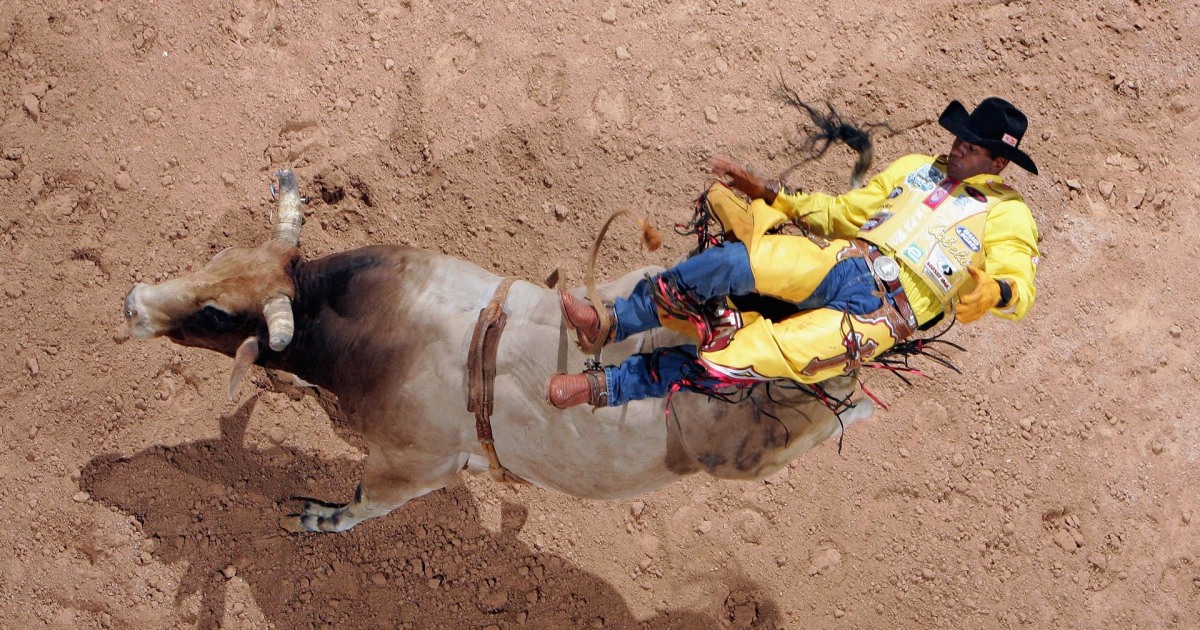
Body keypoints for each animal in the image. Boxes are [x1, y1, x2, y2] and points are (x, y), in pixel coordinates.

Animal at [122, 170, 874, 533]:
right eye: (218, 259)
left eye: (215, 316)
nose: (132, 302)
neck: (375, 329)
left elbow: (364, 503)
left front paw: (318, 517)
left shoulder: (411, 464)